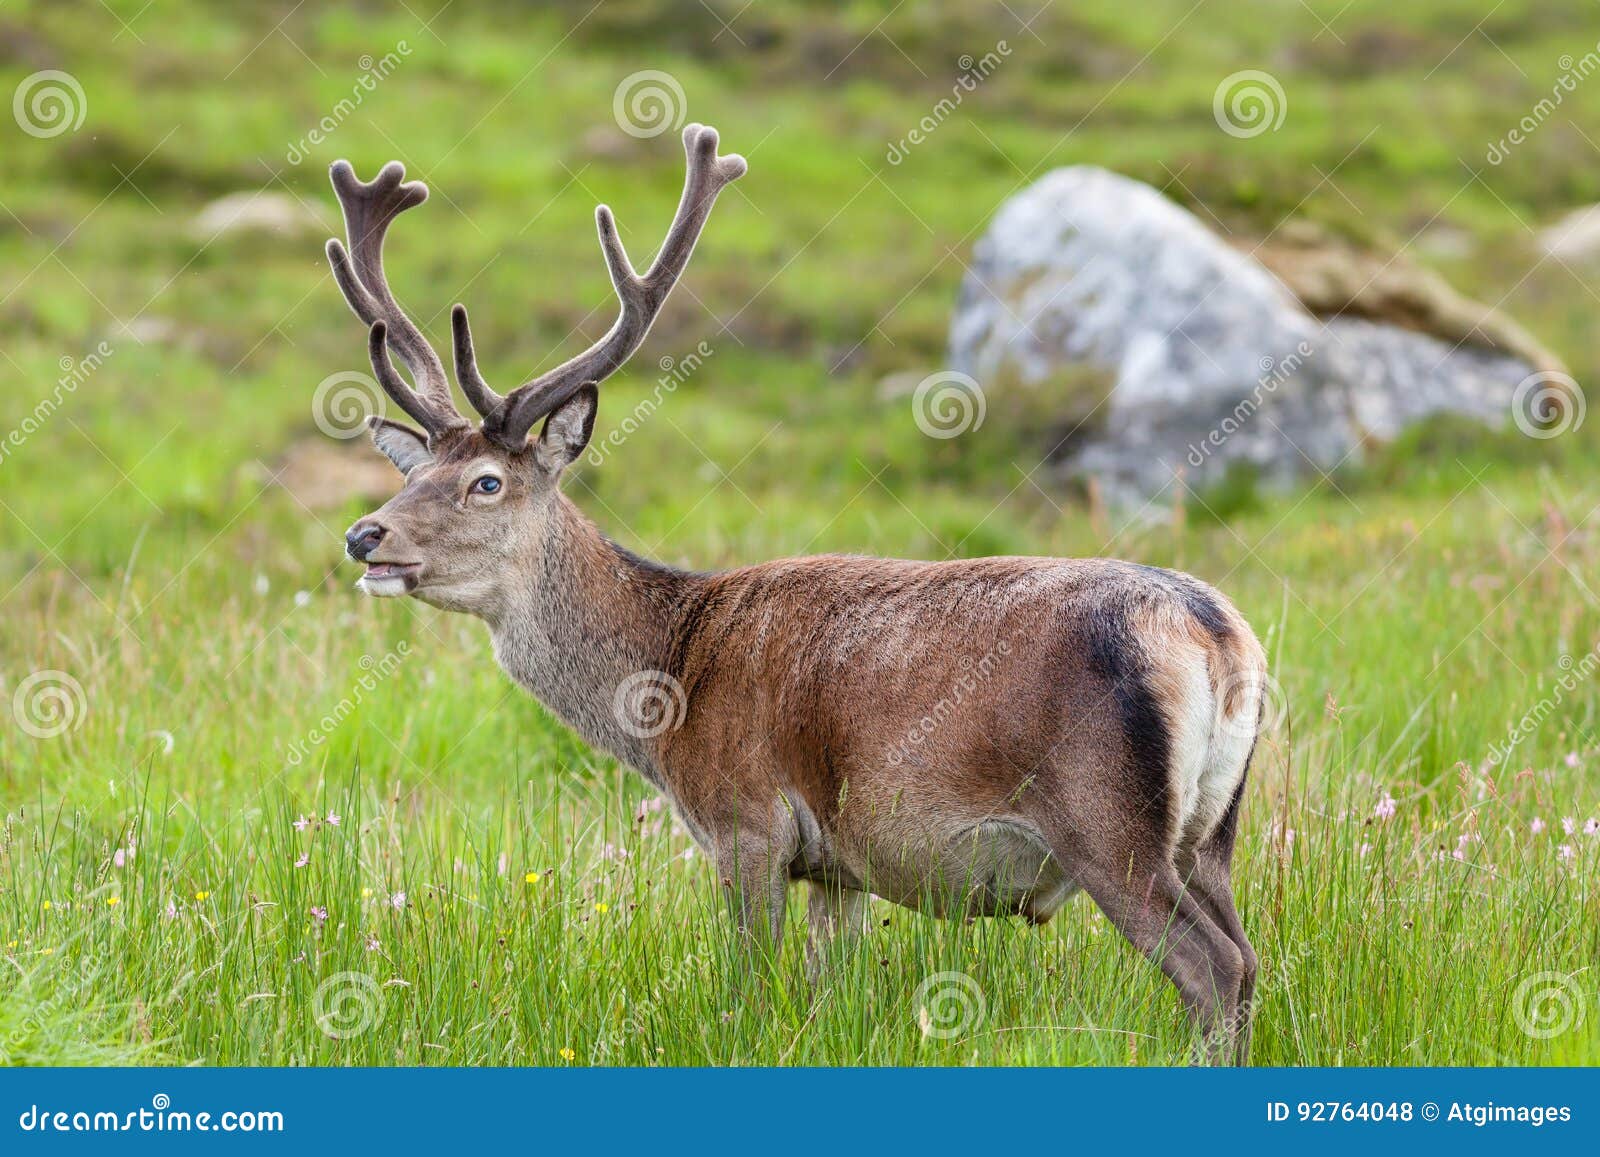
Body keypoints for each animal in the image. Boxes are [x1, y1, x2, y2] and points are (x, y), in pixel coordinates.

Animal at [324, 123, 1268, 1063]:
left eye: (486, 482)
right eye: (413, 473)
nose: (365, 535)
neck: (667, 687)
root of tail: (1217, 634)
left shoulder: (747, 821)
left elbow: (751, 988)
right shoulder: (840, 864)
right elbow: (824, 991)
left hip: (1107, 821)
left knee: (1213, 966)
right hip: (1210, 831)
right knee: (1250, 955)